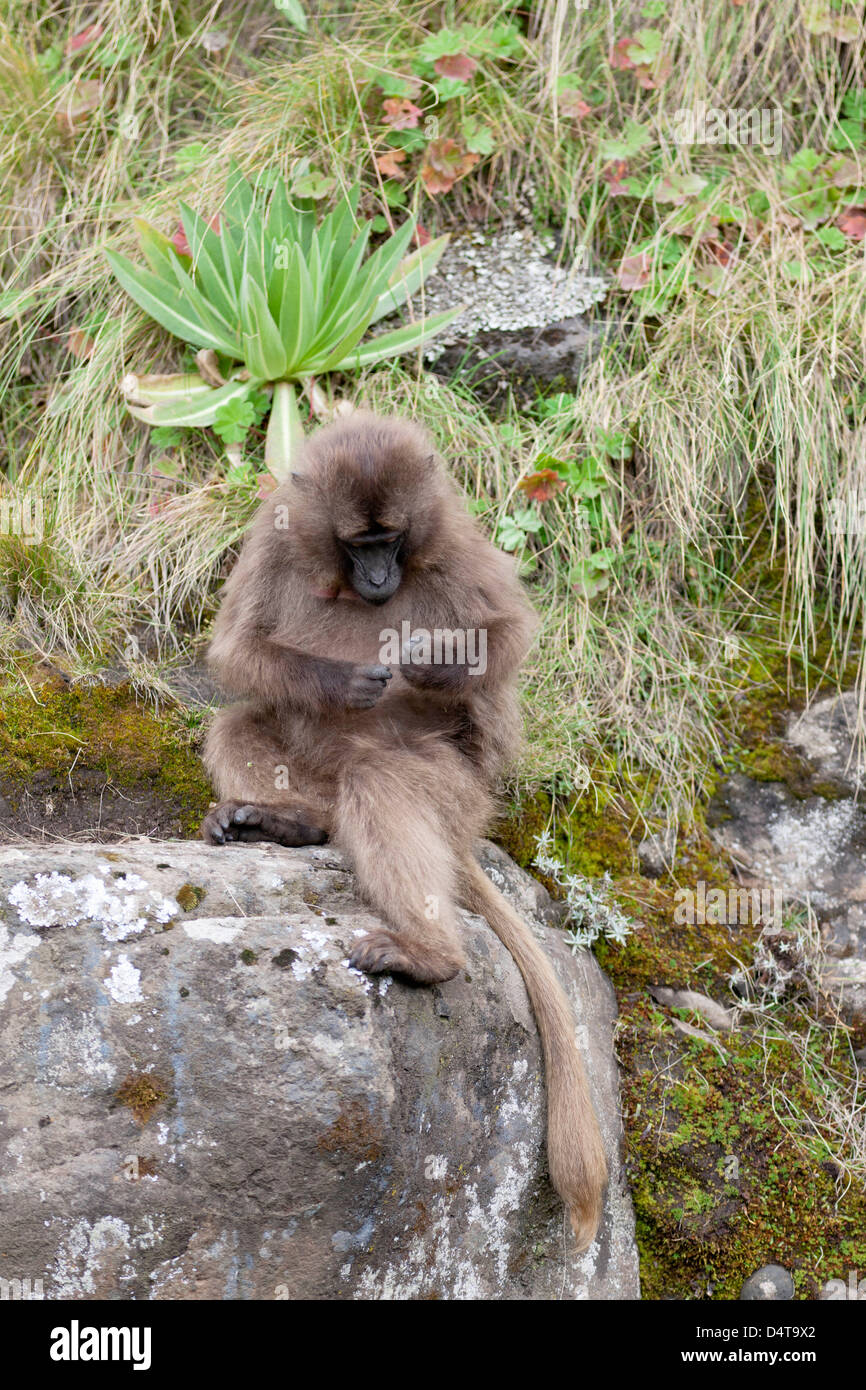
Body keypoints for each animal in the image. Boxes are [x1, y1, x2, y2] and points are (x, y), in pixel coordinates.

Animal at [200, 410, 608, 1249]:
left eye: (391, 538)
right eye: (357, 544)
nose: (381, 580)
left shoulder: (451, 535)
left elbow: (509, 634)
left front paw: (431, 665)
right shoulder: (275, 533)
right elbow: (238, 650)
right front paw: (342, 679)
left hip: (454, 790)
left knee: (385, 781)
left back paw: (428, 953)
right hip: (321, 771)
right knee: (241, 724)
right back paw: (287, 821)